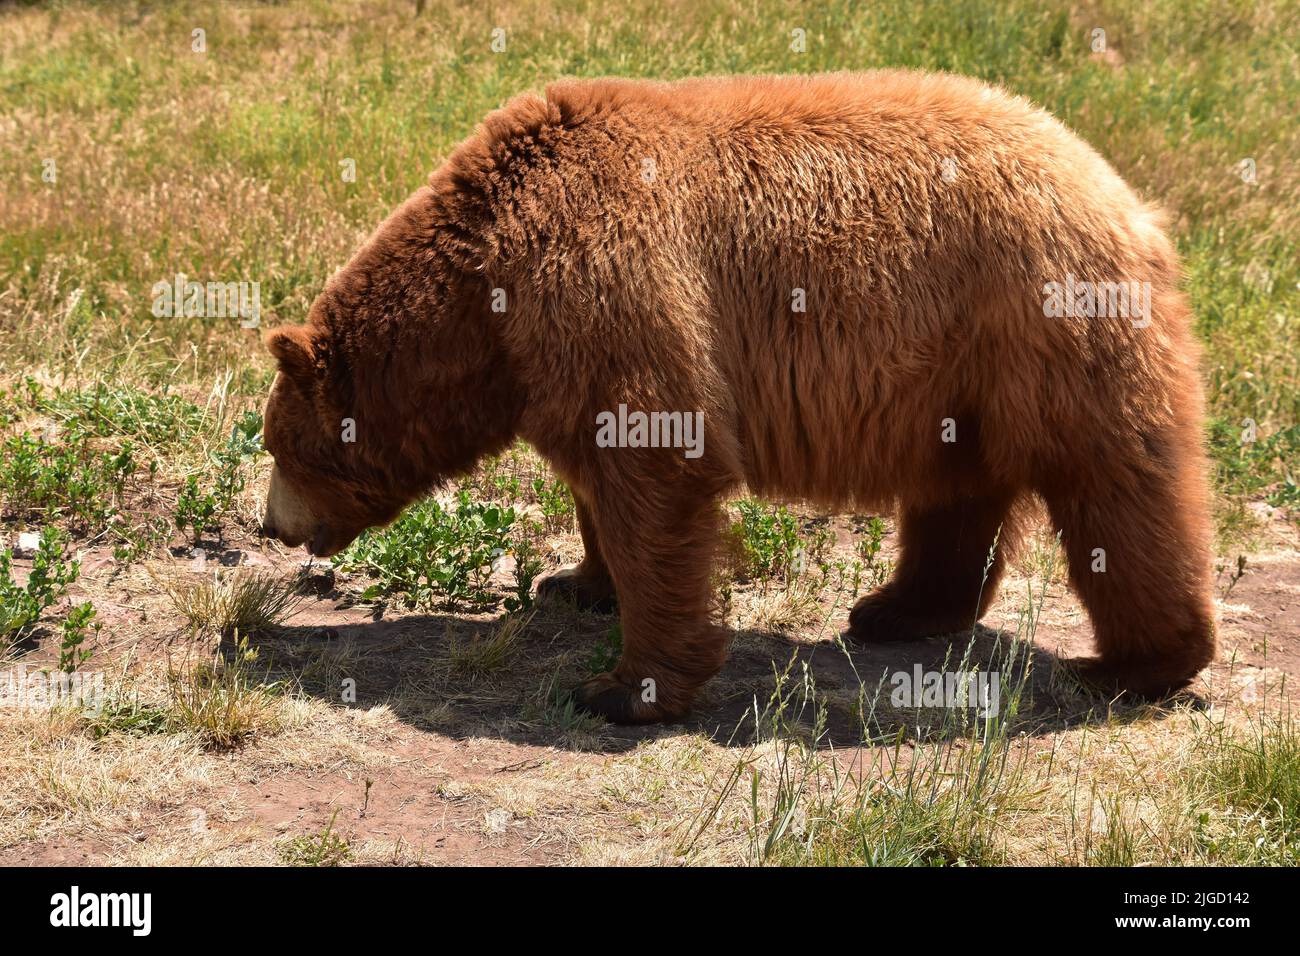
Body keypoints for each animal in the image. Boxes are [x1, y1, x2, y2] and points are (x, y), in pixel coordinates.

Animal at [260, 71, 1216, 724]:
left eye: (279, 447)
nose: (274, 527)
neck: (484, 298)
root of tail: (1131, 203)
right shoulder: (555, 350)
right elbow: (599, 478)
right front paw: (576, 583)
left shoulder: (610, 279)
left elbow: (655, 465)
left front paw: (622, 686)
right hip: (957, 370)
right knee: (960, 487)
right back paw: (900, 609)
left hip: (1045, 320)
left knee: (1114, 484)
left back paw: (1136, 665)